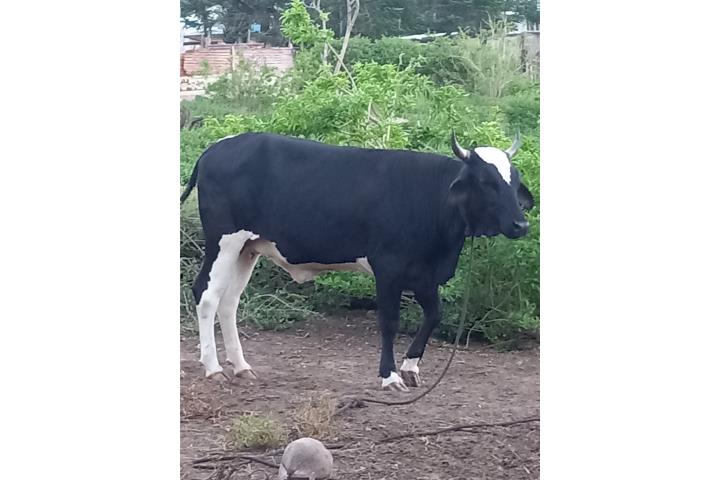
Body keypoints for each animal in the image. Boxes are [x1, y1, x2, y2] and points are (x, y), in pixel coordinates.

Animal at [180, 131, 534, 392]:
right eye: (487, 182)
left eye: (515, 182)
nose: (521, 225)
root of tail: (218, 147)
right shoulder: (388, 268)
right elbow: (389, 322)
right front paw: (389, 376)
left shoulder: (424, 275)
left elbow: (434, 315)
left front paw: (410, 367)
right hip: (224, 241)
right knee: (206, 295)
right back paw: (213, 368)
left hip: (248, 247)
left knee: (229, 301)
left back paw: (241, 367)